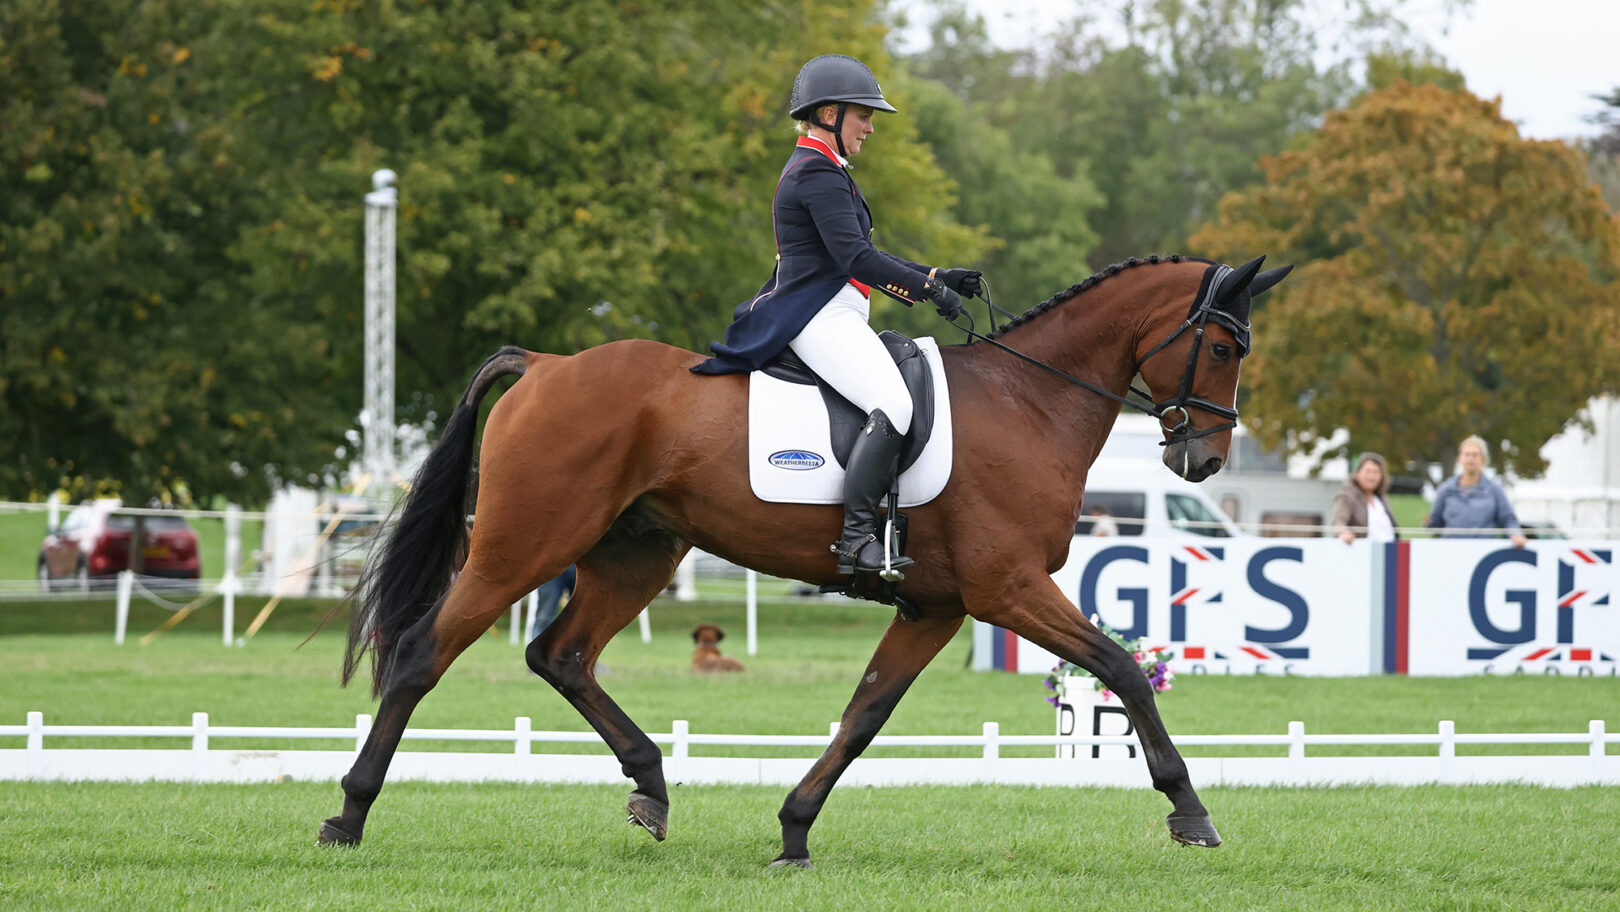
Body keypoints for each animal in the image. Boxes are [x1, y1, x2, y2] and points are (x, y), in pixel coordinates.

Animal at [320, 253, 1292, 867]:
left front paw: (793, 831)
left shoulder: (936, 607)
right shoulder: (1008, 588)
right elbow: (1122, 670)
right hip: (522, 545)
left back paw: (652, 788)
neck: (1030, 399)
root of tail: (548, 363)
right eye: (1224, 346)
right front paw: (1191, 813)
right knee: (422, 654)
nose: (1203, 460)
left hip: (634, 554)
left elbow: (864, 715)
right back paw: (349, 814)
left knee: (561, 655)